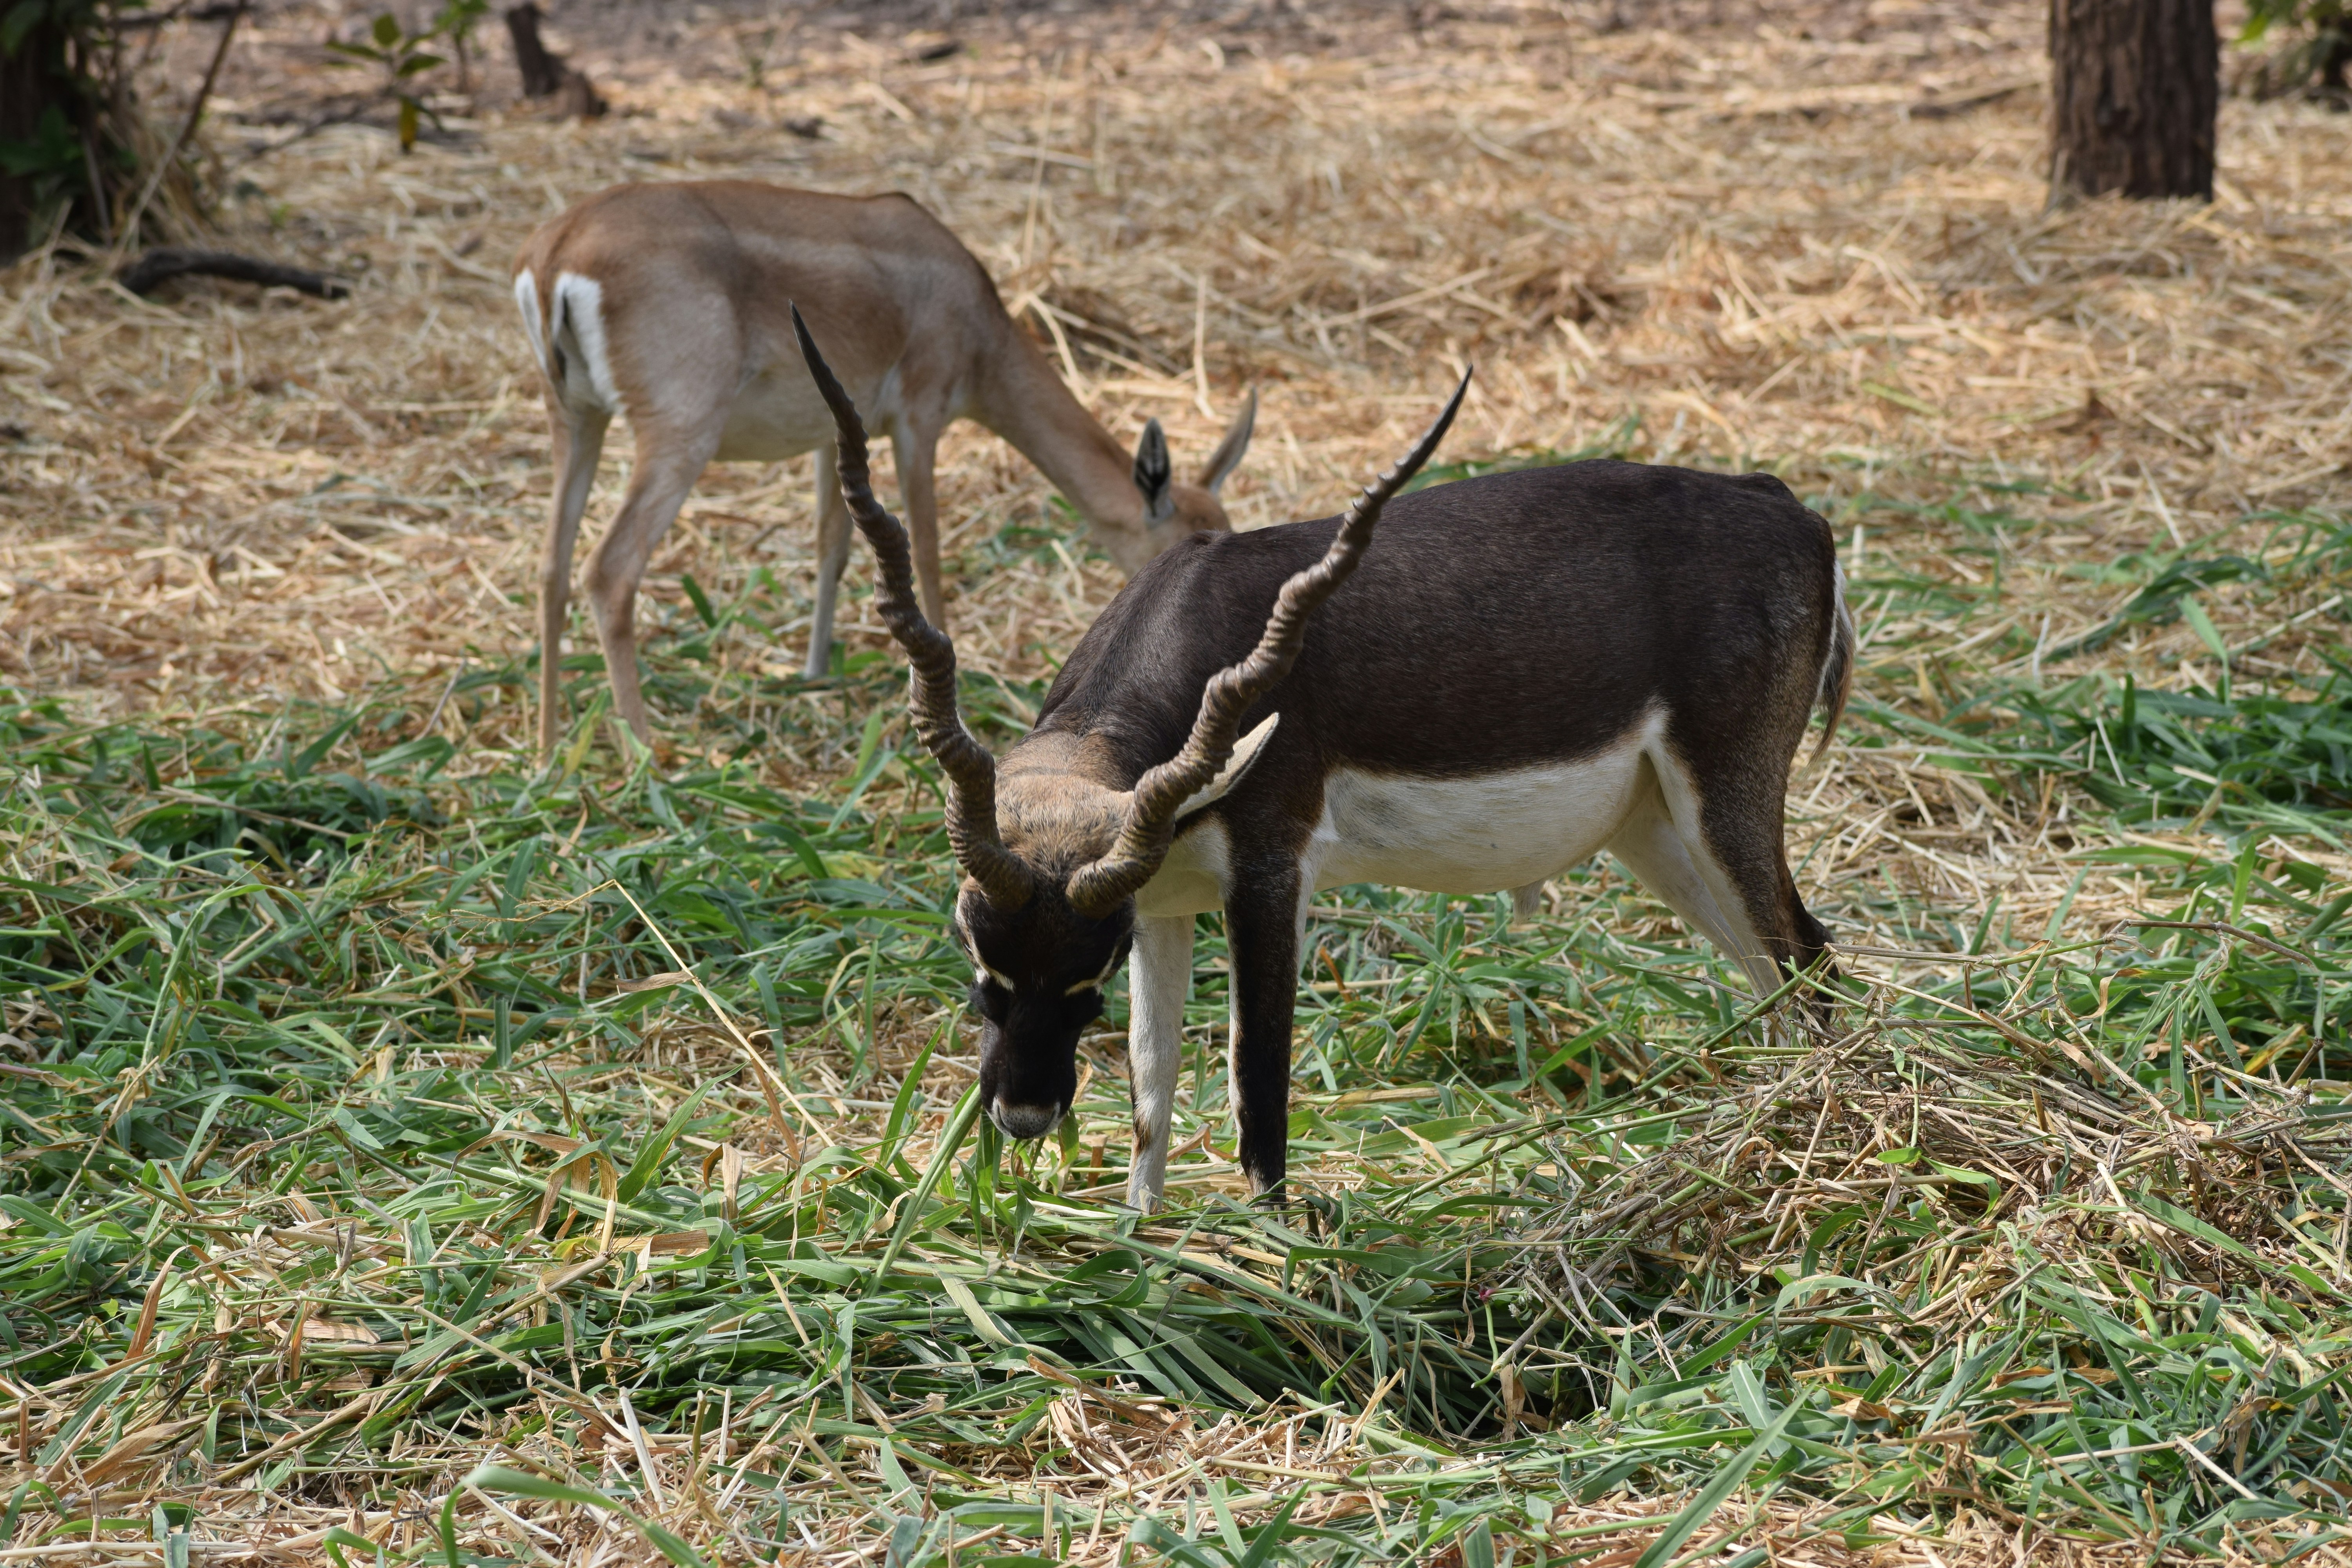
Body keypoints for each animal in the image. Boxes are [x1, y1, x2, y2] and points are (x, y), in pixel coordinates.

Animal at [510, 180, 1257, 759]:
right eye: (1184, 546)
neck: (970, 303)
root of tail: (559, 251)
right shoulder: (918, 424)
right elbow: (926, 551)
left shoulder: (838, 434)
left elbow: (831, 548)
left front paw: (814, 675)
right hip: (677, 436)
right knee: (608, 571)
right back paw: (648, 753)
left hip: (575, 423)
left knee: (550, 567)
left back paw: (546, 752)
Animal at [791, 310, 1853, 1212]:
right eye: (980, 964)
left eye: (1086, 978)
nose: (1021, 1112)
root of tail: (1790, 510)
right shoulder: (1161, 897)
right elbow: (1151, 1089)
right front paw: (1136, 1238)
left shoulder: (1269, 870)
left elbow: (1257, 1082)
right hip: (1654, 831)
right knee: (1775, 983)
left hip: (1724, 804)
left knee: (1810, 958)